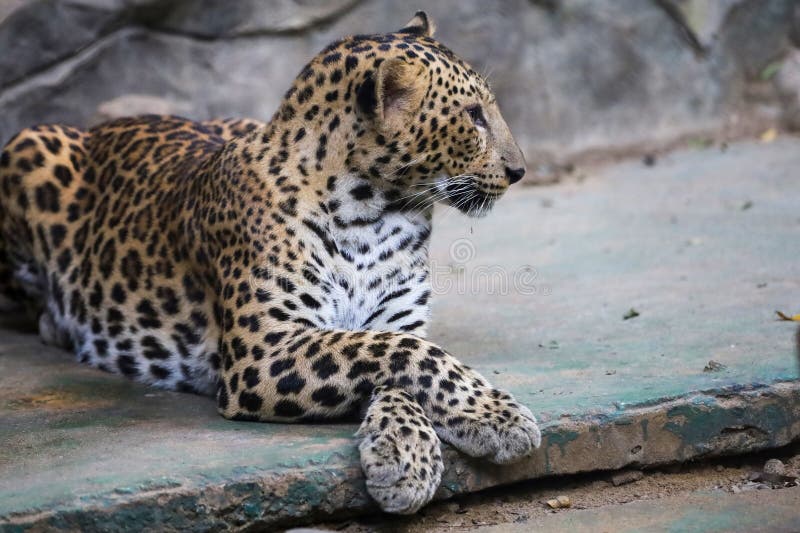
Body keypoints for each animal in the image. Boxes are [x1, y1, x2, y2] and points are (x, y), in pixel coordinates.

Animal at [0, 12, 539, 514]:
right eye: (473, 115)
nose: (519, 171)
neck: (375, 212)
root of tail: (107, 124)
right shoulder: (263, 351)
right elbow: (412, 354)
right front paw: (497, 417)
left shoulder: (394, 320)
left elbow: (402, 366)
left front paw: (405, 453)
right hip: (28, 145)